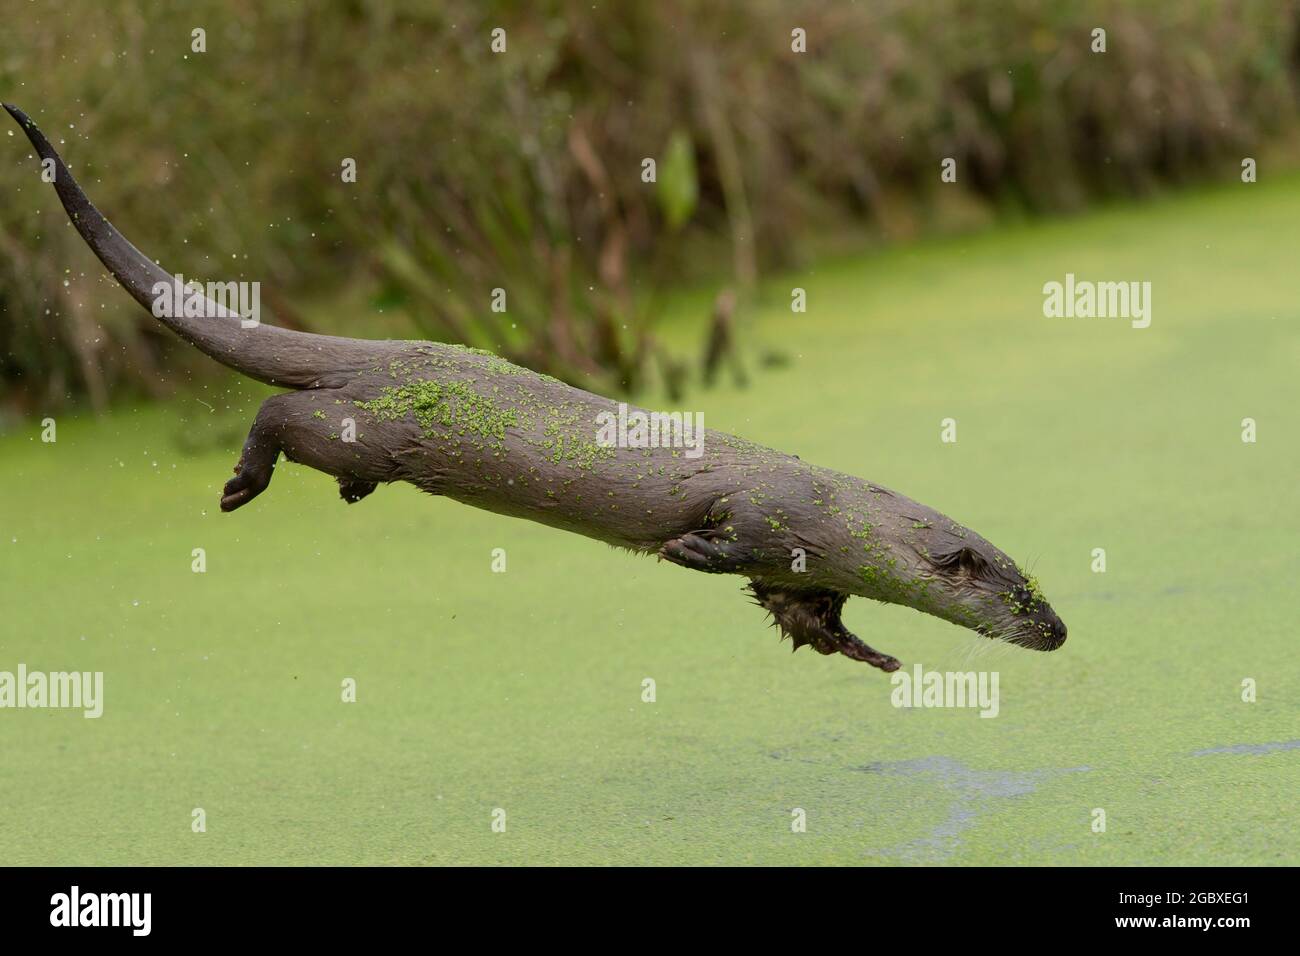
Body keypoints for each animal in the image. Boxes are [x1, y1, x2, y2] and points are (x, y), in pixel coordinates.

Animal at [5, 104, 1067, 672]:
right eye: (1022, 596)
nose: (1058, 632)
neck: (835, 513)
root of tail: (397, 350)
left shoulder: (797, 568)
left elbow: (803, 617)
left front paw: (873, 655)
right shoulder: (770, 514)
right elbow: (722, 541)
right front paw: (685, 546)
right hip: (385, 426)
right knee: (281, 410)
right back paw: (243, 480)